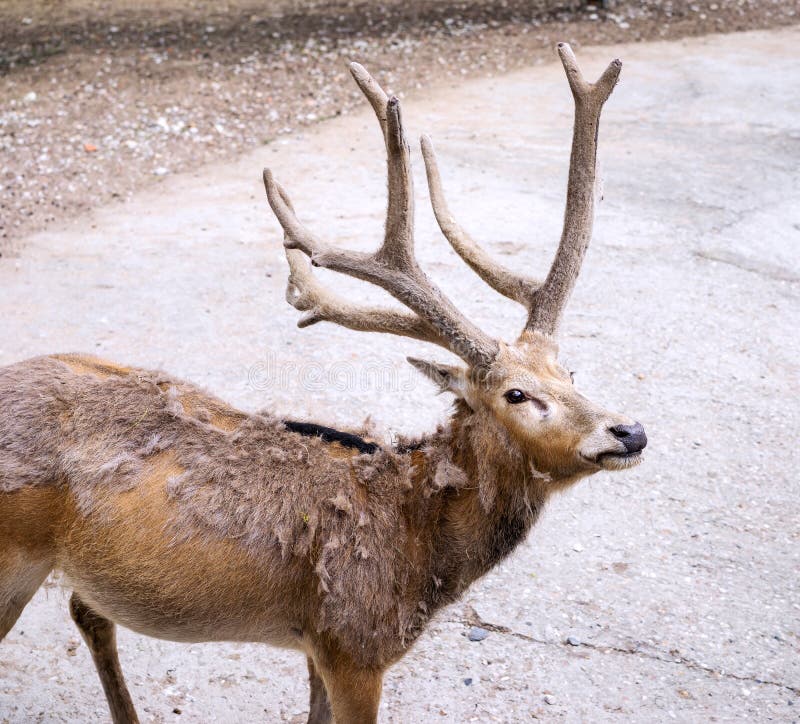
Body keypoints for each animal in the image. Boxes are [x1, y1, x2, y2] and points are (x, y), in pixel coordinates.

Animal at [0, 44, 645, 723]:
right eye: (516, 394)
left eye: (569, 372)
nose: (629, 431)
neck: (420, 551)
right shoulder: (355, 644)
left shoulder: (317, 645)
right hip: (11, 556)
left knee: (86, 610)